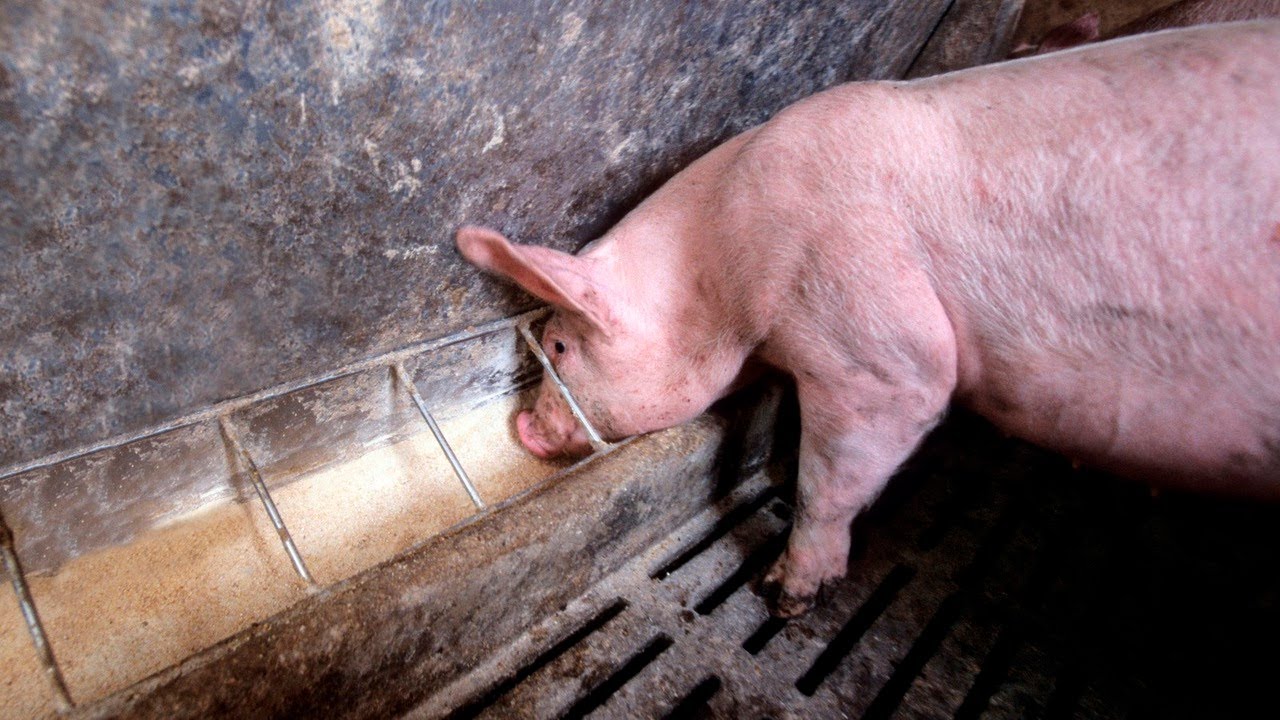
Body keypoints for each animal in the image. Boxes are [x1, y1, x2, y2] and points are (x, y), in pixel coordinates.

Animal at [457, 21, 1280, 617]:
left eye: (560, 344)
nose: (522, 427)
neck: (725, 261)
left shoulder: (874, 343)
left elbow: (833, 475)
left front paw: (787, 597)